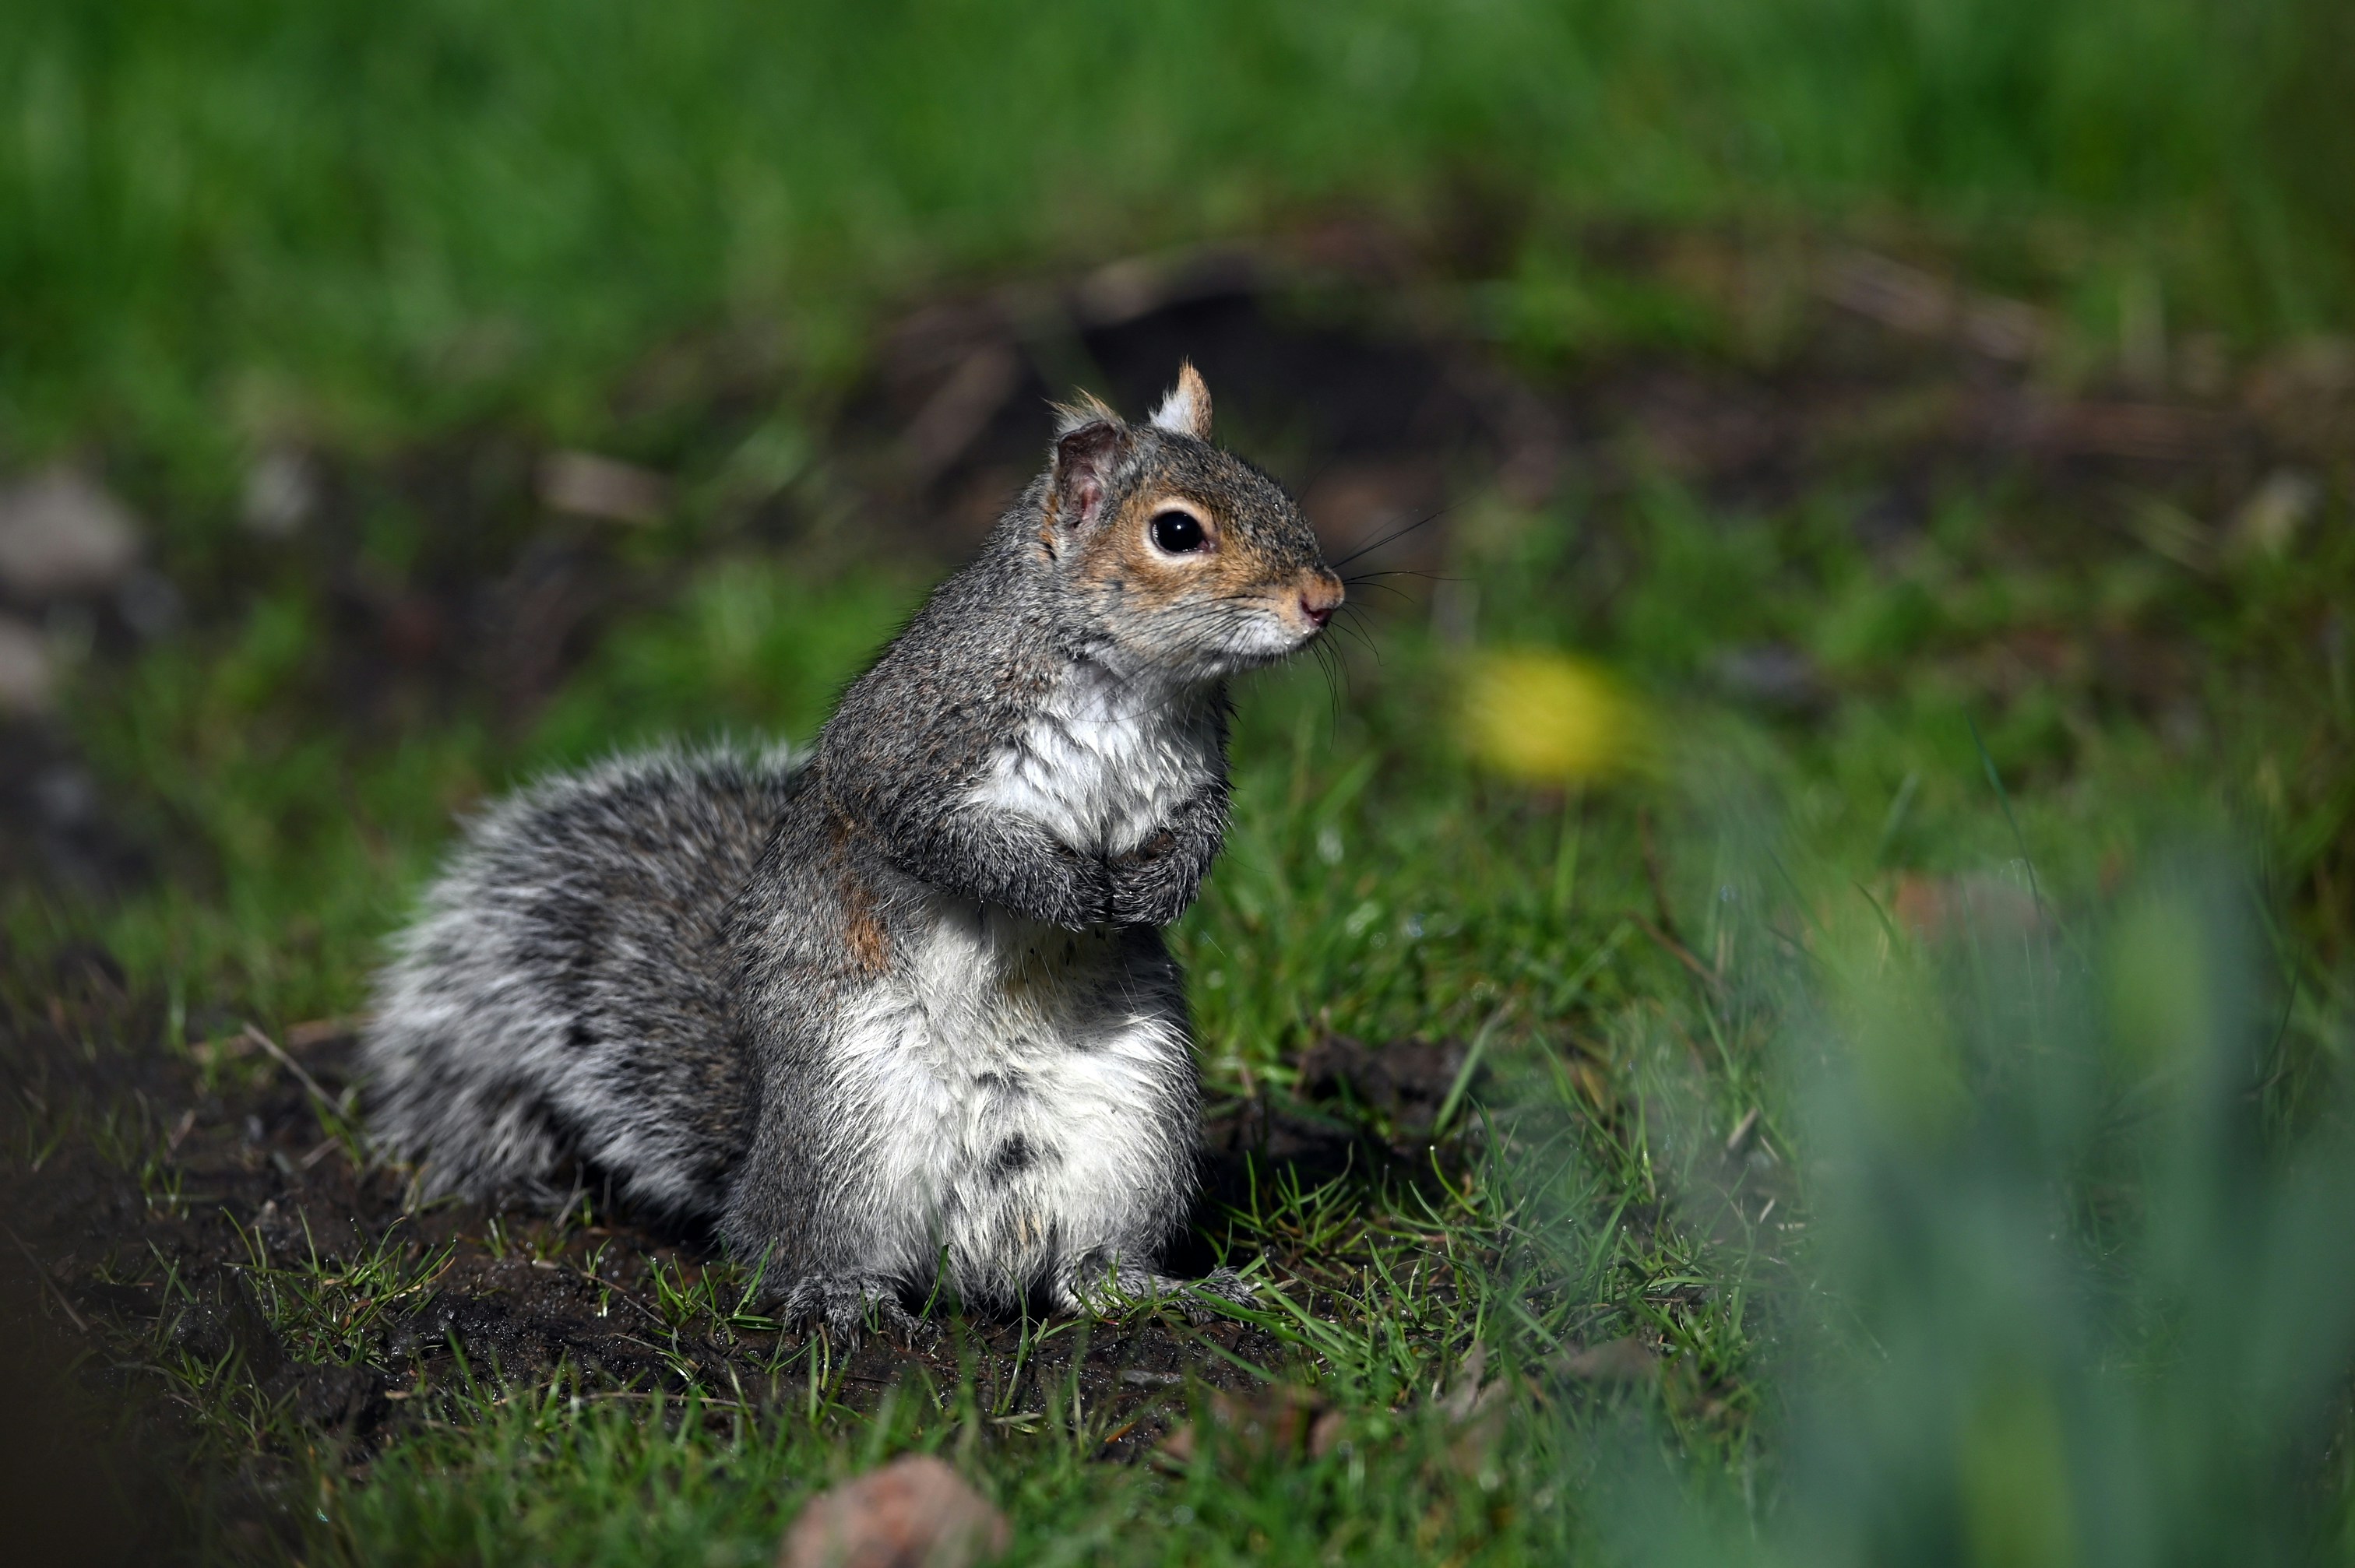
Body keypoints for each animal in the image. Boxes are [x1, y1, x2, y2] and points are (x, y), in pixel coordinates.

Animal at [363, 364, 1345, 1336]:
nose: (1326, 599)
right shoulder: (907, 744)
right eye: (1176, 531)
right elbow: (936, 836)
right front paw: (1059, 891)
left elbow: (1202, 836)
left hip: (1136, 1120)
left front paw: (1153, 893)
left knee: (1087, 1273)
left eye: (1275, 489)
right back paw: (845, 1295)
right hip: (847, 1127)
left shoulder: (1195, 776)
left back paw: (1166, 1289)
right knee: (789, 1253)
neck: (1133, 684)